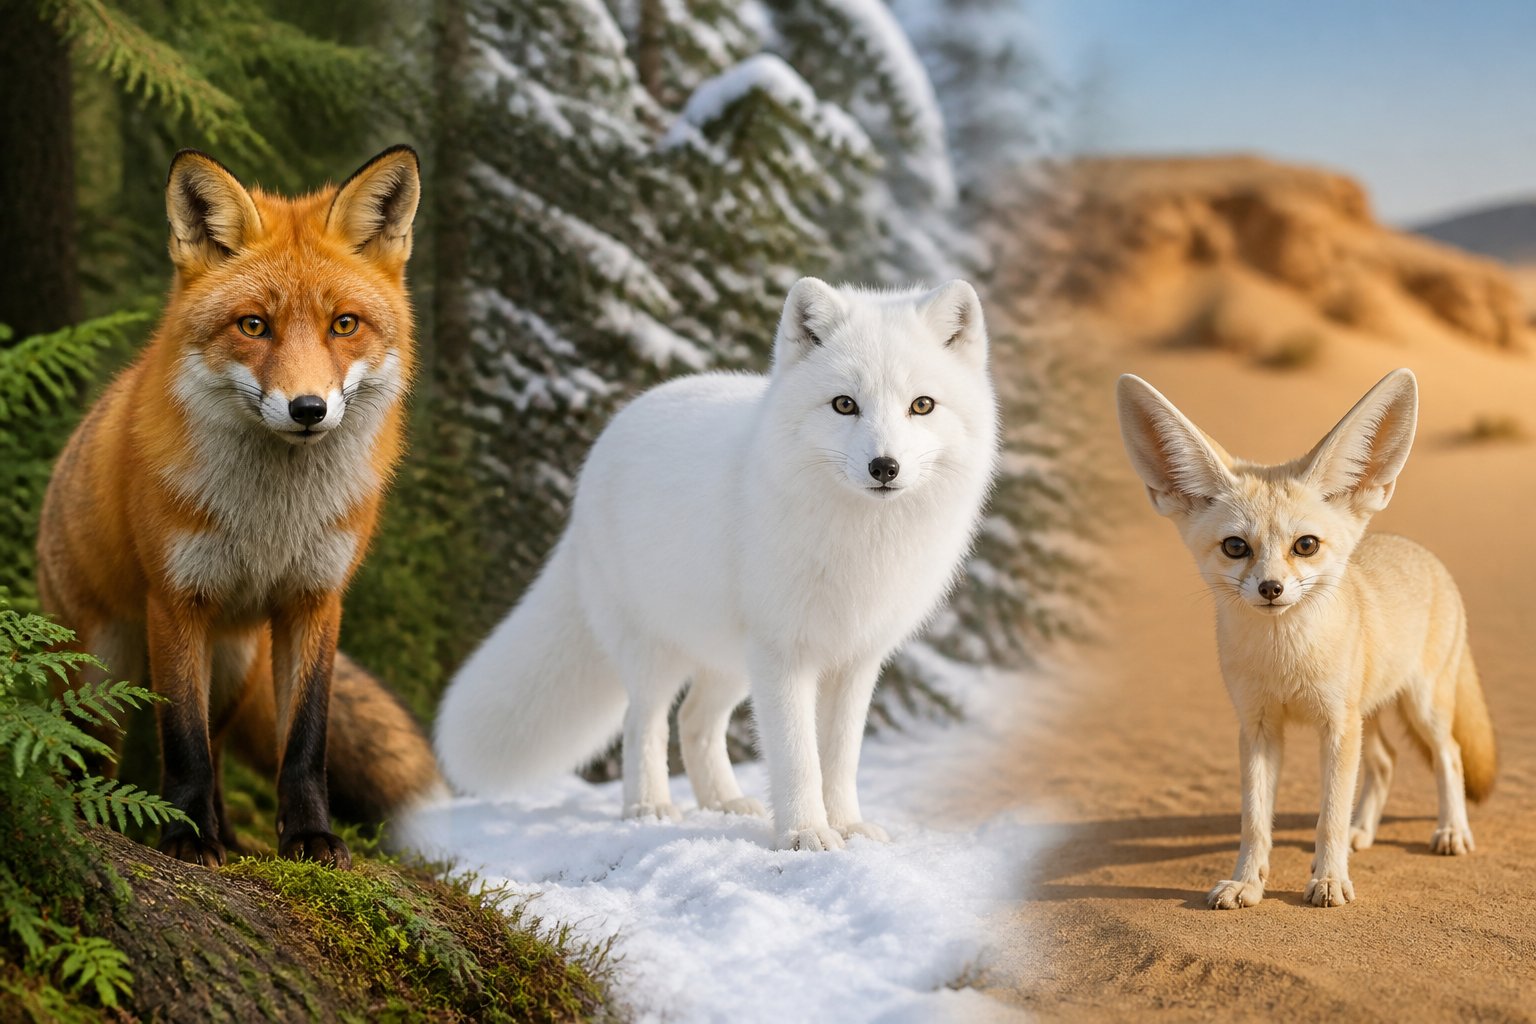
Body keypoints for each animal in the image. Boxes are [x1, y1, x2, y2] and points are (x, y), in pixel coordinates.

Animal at [35, 146, 445, 869]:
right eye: (254, 325)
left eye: (344, 324)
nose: (308, 408)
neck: (270, 522)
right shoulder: (176, 601)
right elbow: (182, 741)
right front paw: (184, 839)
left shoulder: (314, 600)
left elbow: (304, 743)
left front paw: (309, 837)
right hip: (102, 671)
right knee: (93, 751)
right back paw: (105, 816)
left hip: (233, 666)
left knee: (223, 746)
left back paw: (227, 831)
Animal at [434, 278, 999, 850]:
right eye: (845, 404)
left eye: (922, 406)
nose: (884, 467)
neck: (863, 543)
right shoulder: (784, 652)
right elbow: (798, 757)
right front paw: (805, 834)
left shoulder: (856, 659)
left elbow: (840, 757)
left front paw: (846, 826)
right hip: (657, 650)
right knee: (644, 721)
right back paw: (649, 807)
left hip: (731, 662)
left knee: (695, 720)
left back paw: (724, 803)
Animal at [1117, 368, 1497, 908]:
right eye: (1236, 547)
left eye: (1306, 545)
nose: (1271, 589)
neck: (1284, 660)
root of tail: (1420, 550)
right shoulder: (1258, 727)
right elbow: (1255, 821)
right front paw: (1247, 881)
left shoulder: (1336, 726)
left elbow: (1328, 816)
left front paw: (1329, 880)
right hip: (1369, 716)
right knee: (1385, 763)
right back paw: (1364, 832)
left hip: (1420, 706)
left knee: (1451, 756)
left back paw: (1450, 831)